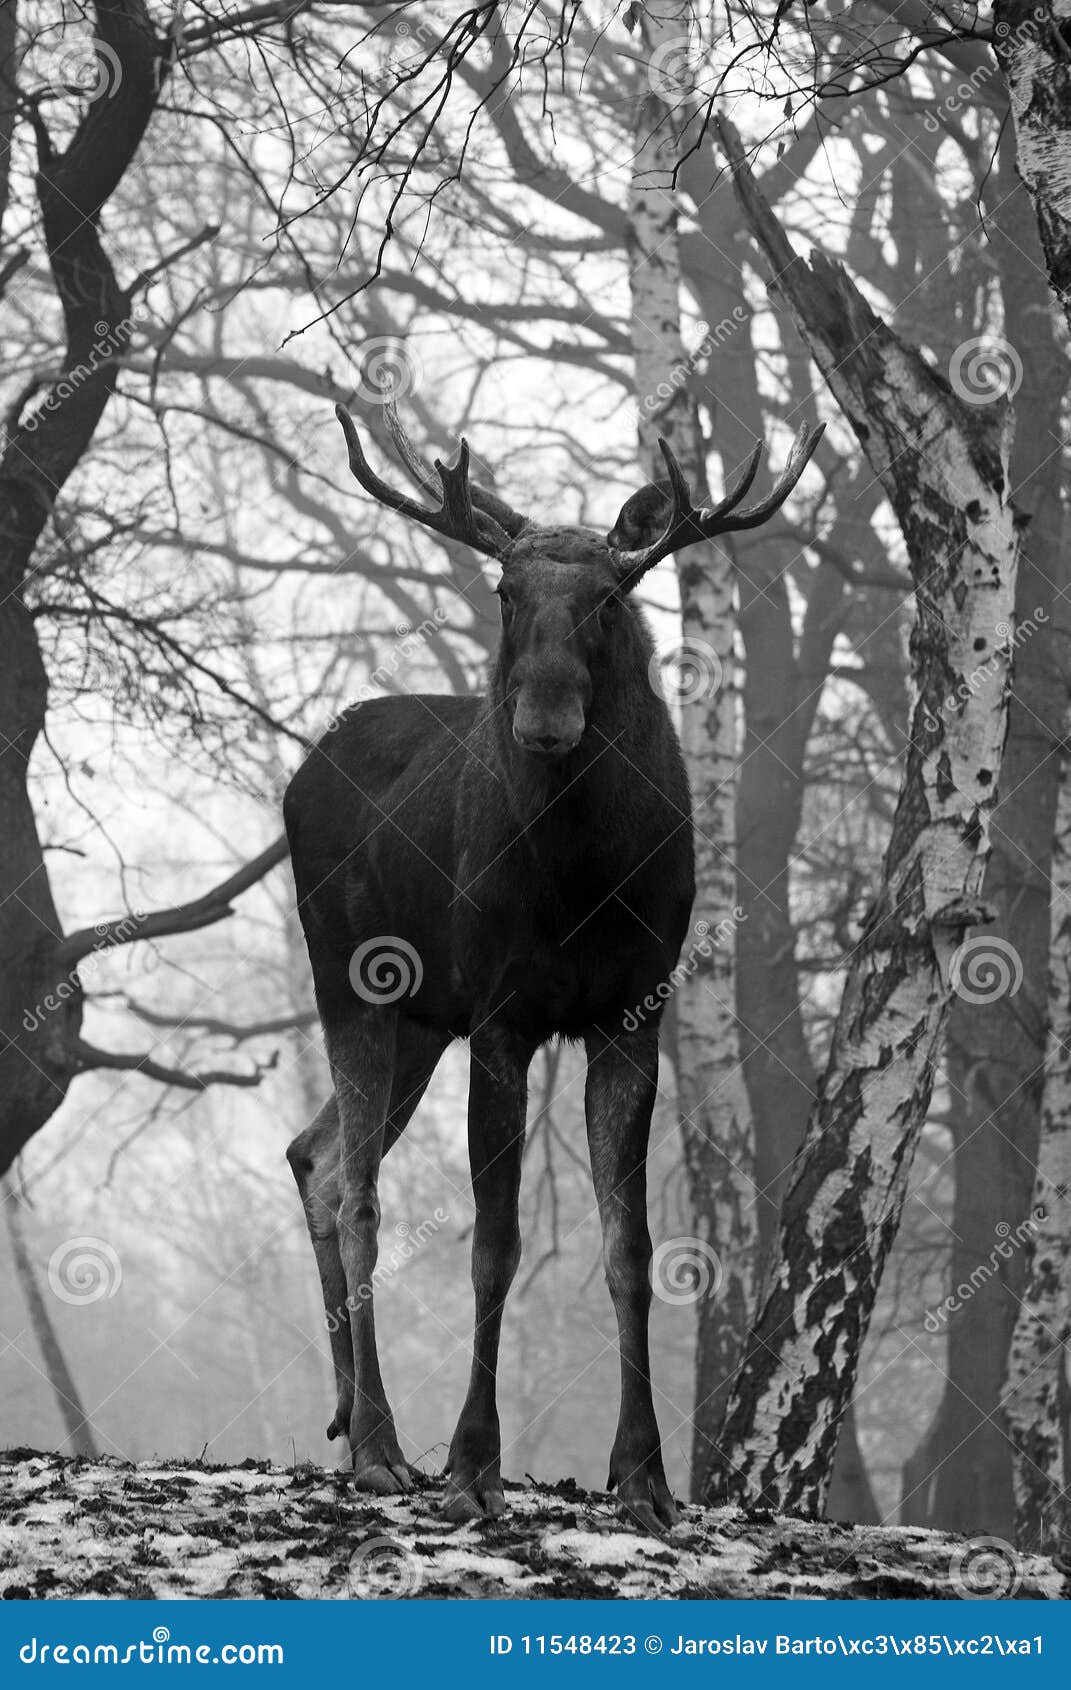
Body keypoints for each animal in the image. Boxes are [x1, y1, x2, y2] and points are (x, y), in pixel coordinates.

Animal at [283, 400, 823, 1533]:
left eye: (611, 597)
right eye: (504, 590)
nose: (544, 717)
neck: (584, 885)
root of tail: (304, 771)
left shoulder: (630, 1012)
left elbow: (633, 1250)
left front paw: (645, 1478)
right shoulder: (502, 1012)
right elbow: (493, 1247)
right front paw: (472, 1467)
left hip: (420, 1020)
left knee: (317, 1158)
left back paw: (351, 1418)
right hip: (348, 976)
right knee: (357, 1193)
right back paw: (382, 1449)